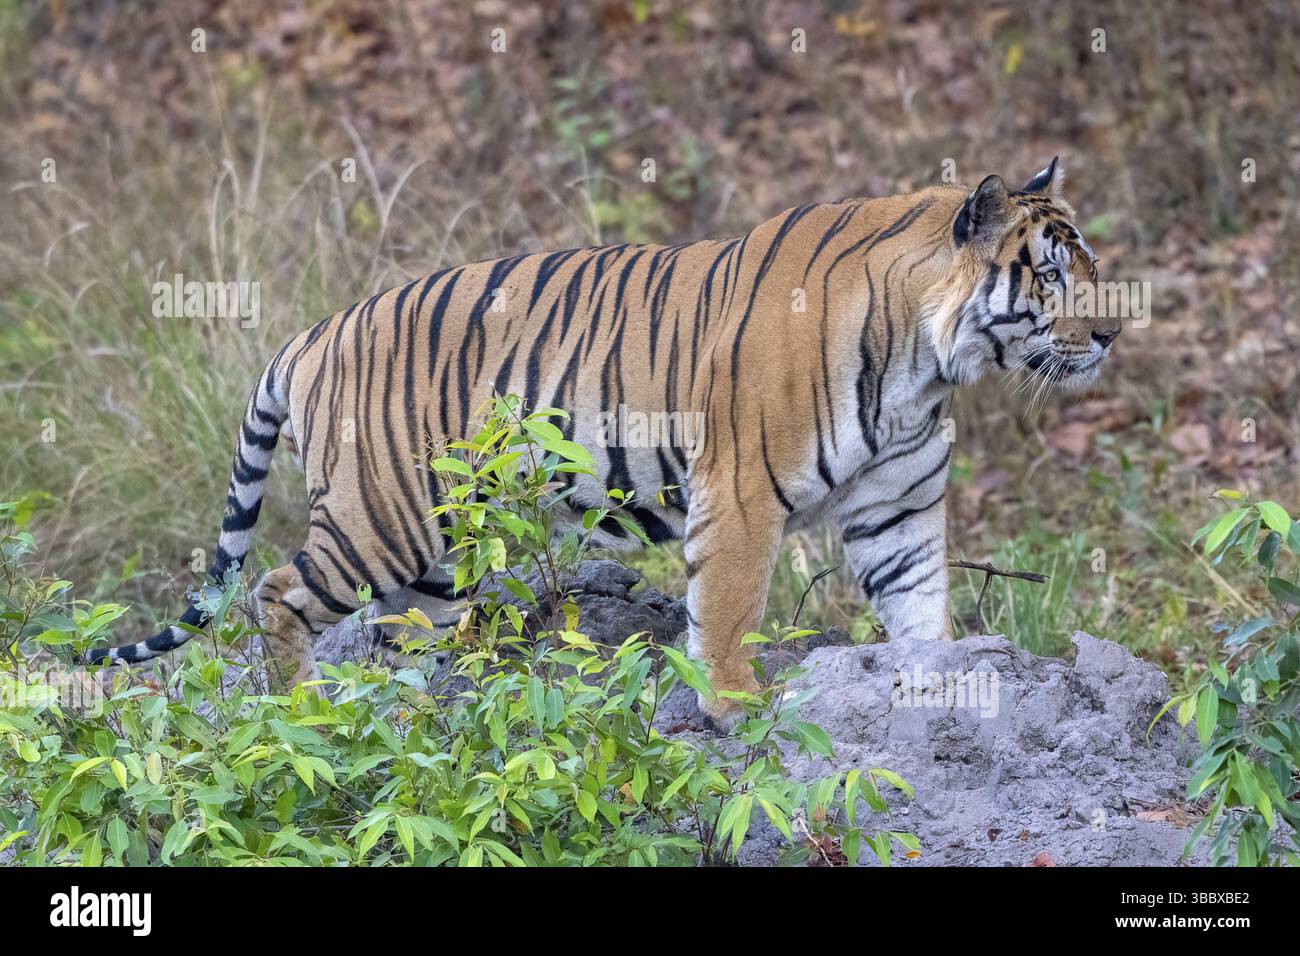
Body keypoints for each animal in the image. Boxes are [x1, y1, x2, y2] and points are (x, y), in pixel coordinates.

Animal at [88, 157, 1117, 731]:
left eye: (1089, 267)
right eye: (1052, 274)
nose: (1111, 332)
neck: (927, 364)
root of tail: (308, 334)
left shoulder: (898, 510)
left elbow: (921, 610)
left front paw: (948, 690)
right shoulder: (742, 493)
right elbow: (728, 607)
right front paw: (735, 708)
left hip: (435, 558)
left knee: (398, 637)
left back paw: (411, 714)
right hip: (382, 517)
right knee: (276, 592)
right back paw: (301, 709)